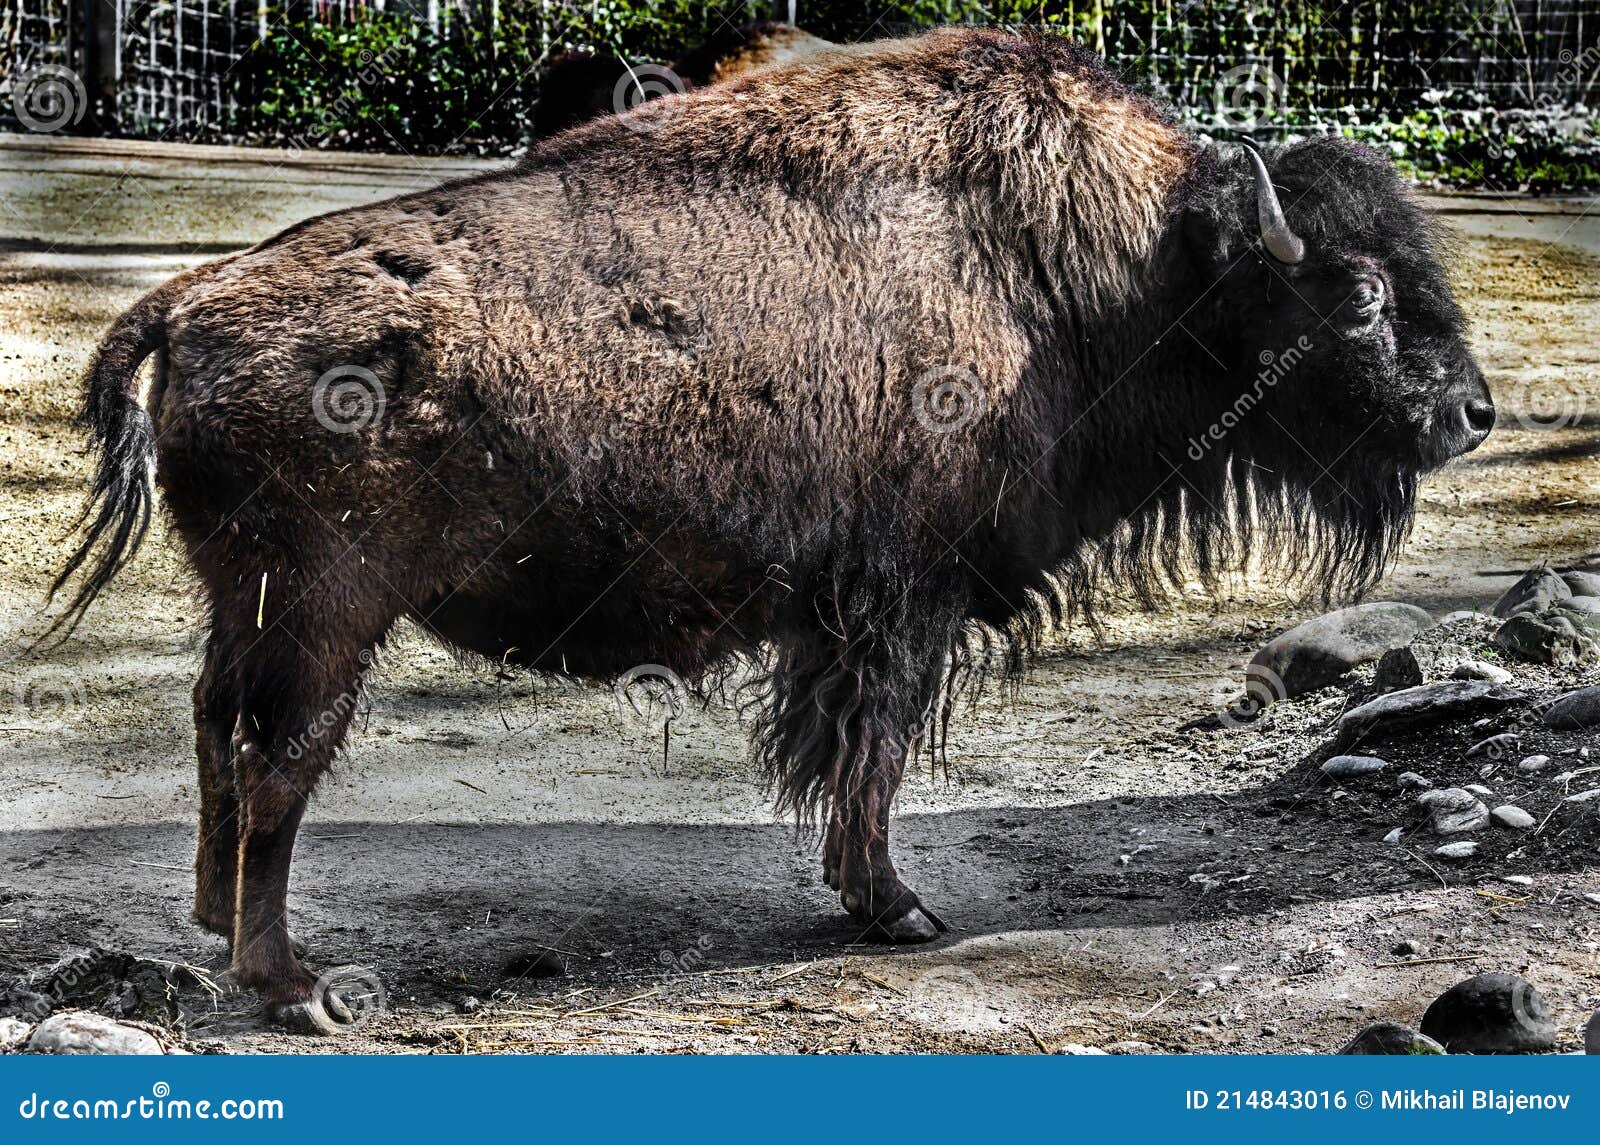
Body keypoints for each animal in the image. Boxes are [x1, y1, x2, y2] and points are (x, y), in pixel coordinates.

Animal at [52, 28, 1492, 1032]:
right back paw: (290, 979)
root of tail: (191, 299)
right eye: (1360, 291)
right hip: (326, 614)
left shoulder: (856, 614)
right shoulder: (899, 600)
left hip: (248, 605)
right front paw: (898, 907)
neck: (1127, 267)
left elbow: (853, 750)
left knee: (216, 732)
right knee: (277, 761)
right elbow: (874, 750)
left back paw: (213, 923)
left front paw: (873, 895)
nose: (1472, 411)